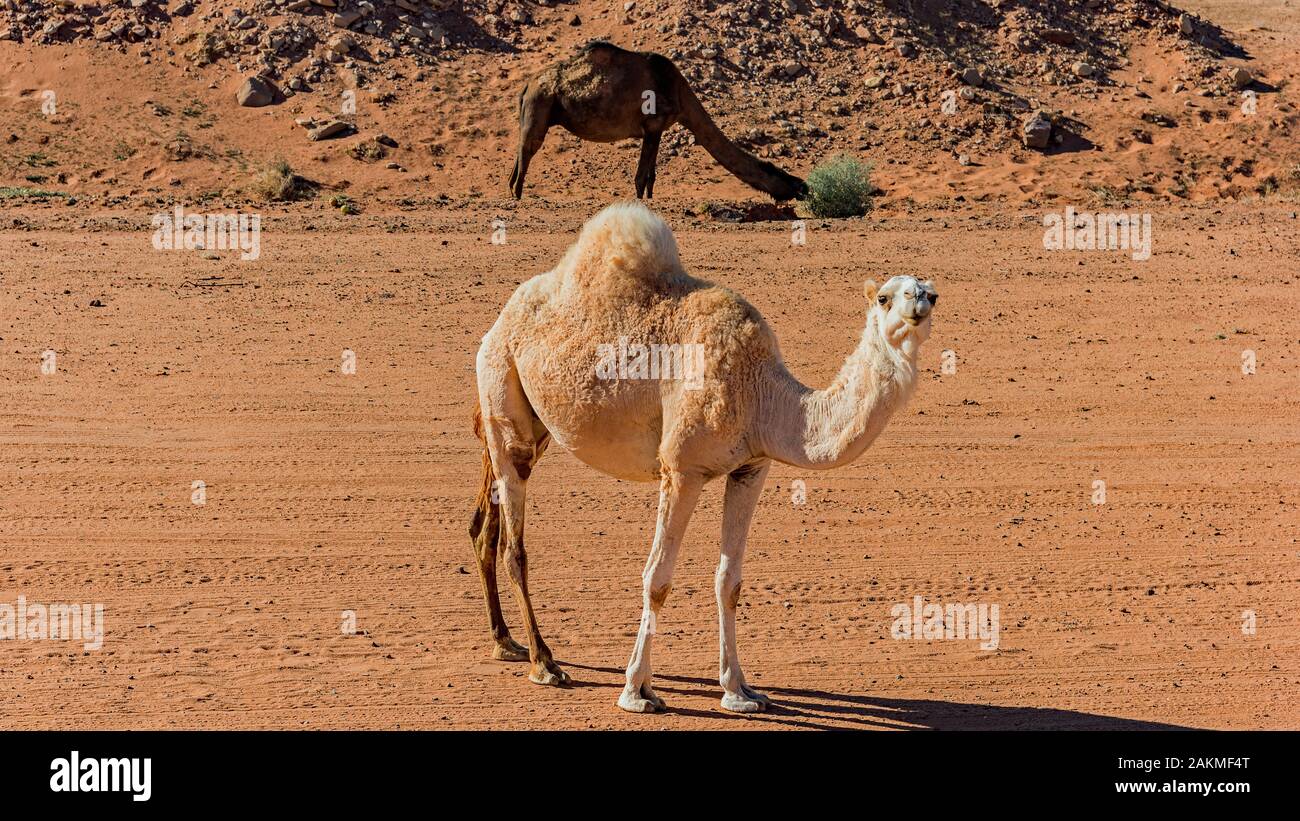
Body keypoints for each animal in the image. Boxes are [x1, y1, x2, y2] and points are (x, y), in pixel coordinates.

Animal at [469, 202, 936, 713]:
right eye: (884, 297)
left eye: (931, 291)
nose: (921, 300)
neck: (764, 393)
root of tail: (501, 318)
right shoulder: (682, 468)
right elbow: (657, 578)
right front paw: (636, 691)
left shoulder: (752, 466)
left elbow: (729, 581)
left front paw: (739, 690)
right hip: (501, 384)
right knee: (514, 539)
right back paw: (545, 663)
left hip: (532, 424)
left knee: (488, 523)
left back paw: (506, 643)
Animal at [509, 40, 808, 202]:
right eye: (781, 175)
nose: (803, 187)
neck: (680, 93)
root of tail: (526, 85)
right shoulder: (653, 124)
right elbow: (642, 177)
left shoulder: (658, 129)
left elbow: (652, 176)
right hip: (540, 103)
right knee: (527, 154)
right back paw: (518, 197)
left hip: (532, 111)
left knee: (518, 158)